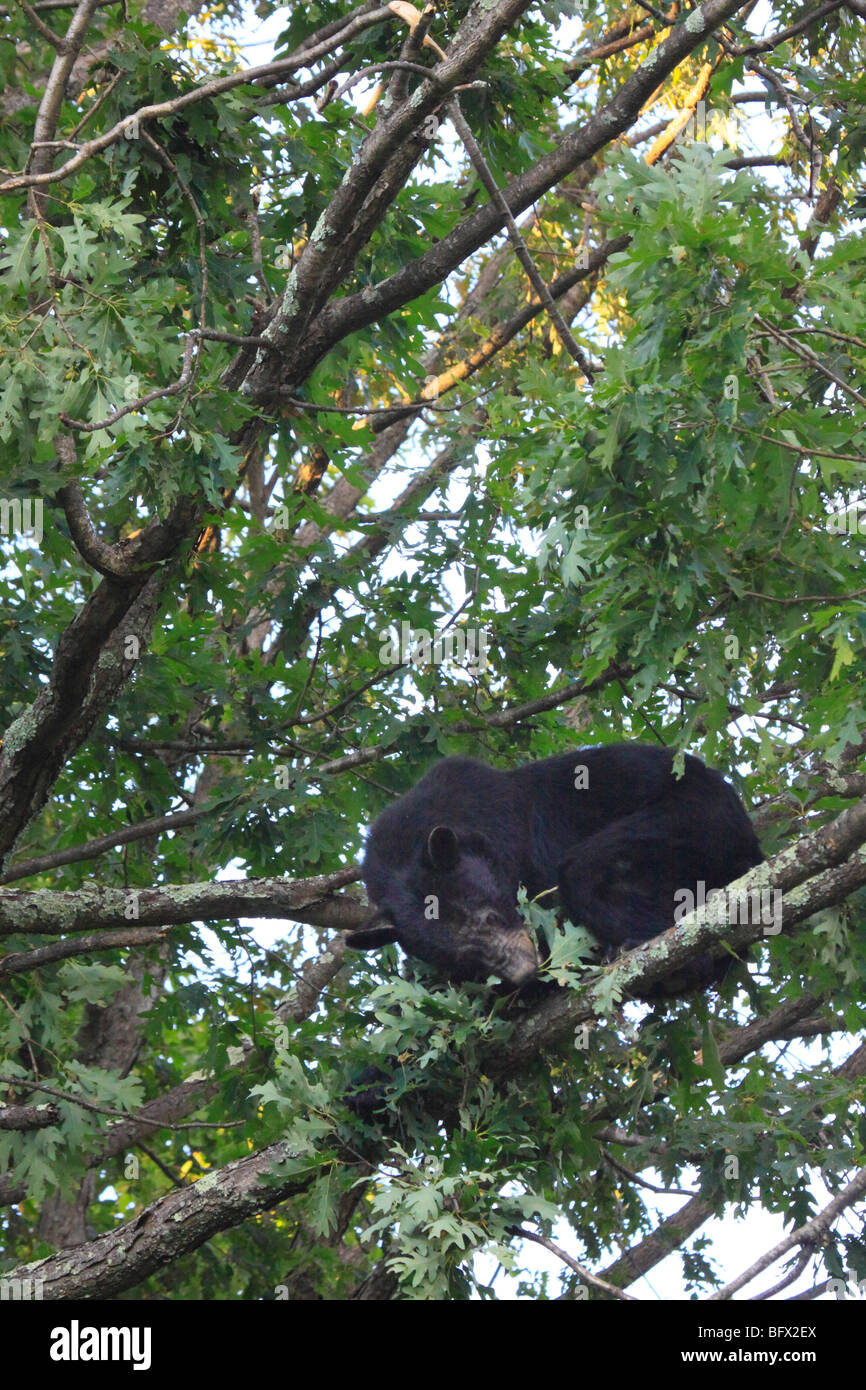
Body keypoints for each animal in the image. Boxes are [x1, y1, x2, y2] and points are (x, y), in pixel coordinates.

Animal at [345, 742, 763, 995]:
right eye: (462, 958)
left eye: (490, 917)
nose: (525, 971)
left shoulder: (517, 838)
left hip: (694, 816)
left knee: (586, 870)